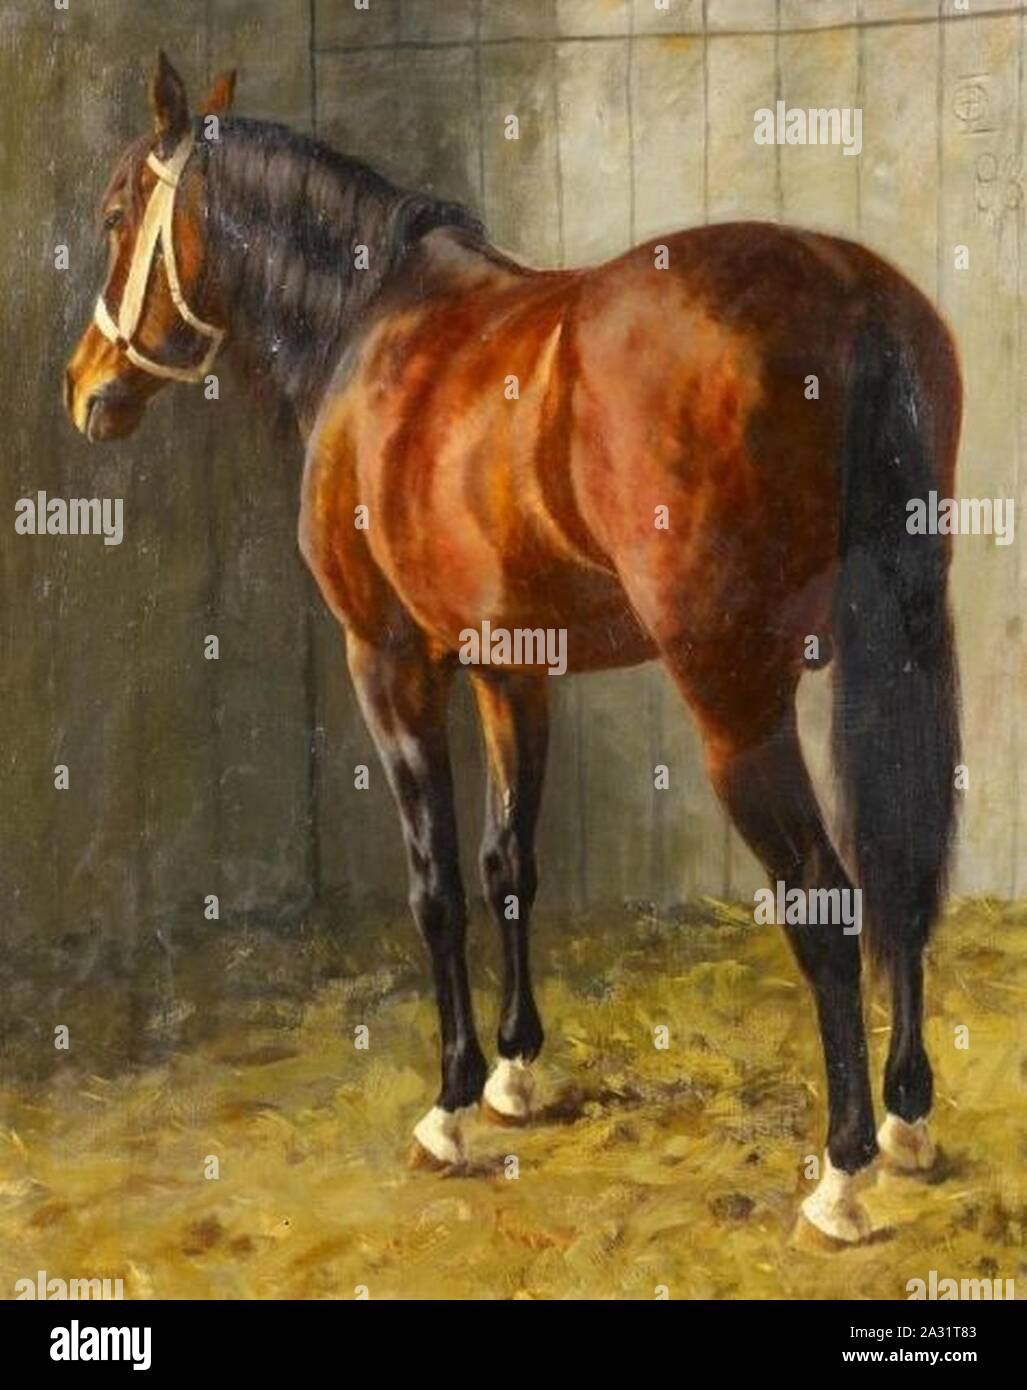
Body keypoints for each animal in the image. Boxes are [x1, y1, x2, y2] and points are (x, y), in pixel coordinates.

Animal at [65, 54, 961, 1246]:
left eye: (117, 215)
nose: (85, 391)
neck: (373, 325)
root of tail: (847, 289)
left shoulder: (387, 660)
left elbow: (437, 883)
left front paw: (448, 1101)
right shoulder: (510, 668)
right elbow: (508, 864)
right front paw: (516, 1069)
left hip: (735, 704)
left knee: (828, 899)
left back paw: (843, 1173)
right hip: (889, 649)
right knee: (899, 874)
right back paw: (906, 1121)